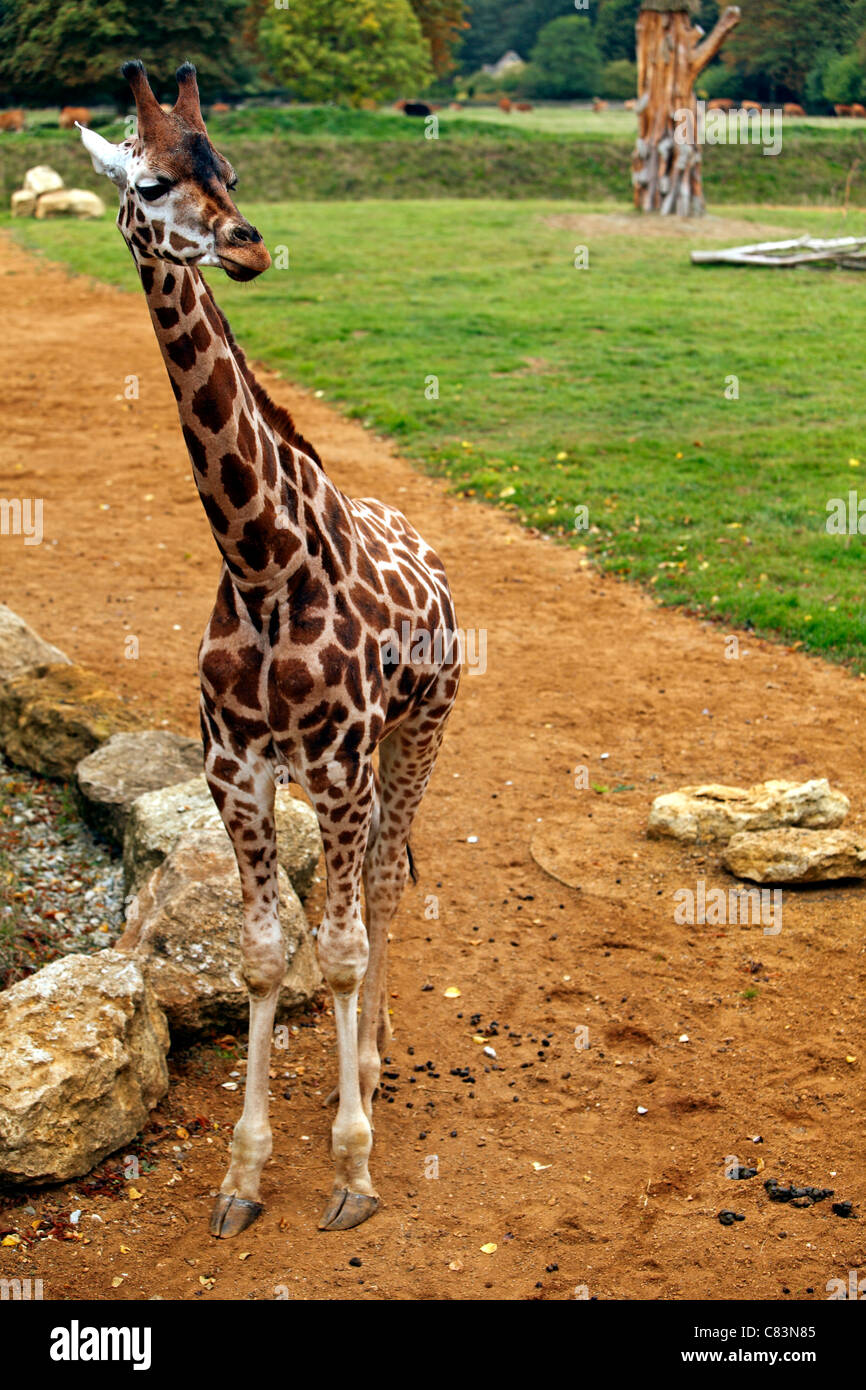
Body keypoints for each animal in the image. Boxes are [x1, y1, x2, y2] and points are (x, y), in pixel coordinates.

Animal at [79, 61, 461, 1238]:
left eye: (233, 172)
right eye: (150, 181)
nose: (245, 245)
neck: (260, 563)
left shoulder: (338, 768)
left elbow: (335, 950)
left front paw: (352, 1167)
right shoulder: (236, 771)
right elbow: (259, 955)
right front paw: (243, 1176)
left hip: (421, 733)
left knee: (382, 891)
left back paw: (372, 1068)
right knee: (369, 891)